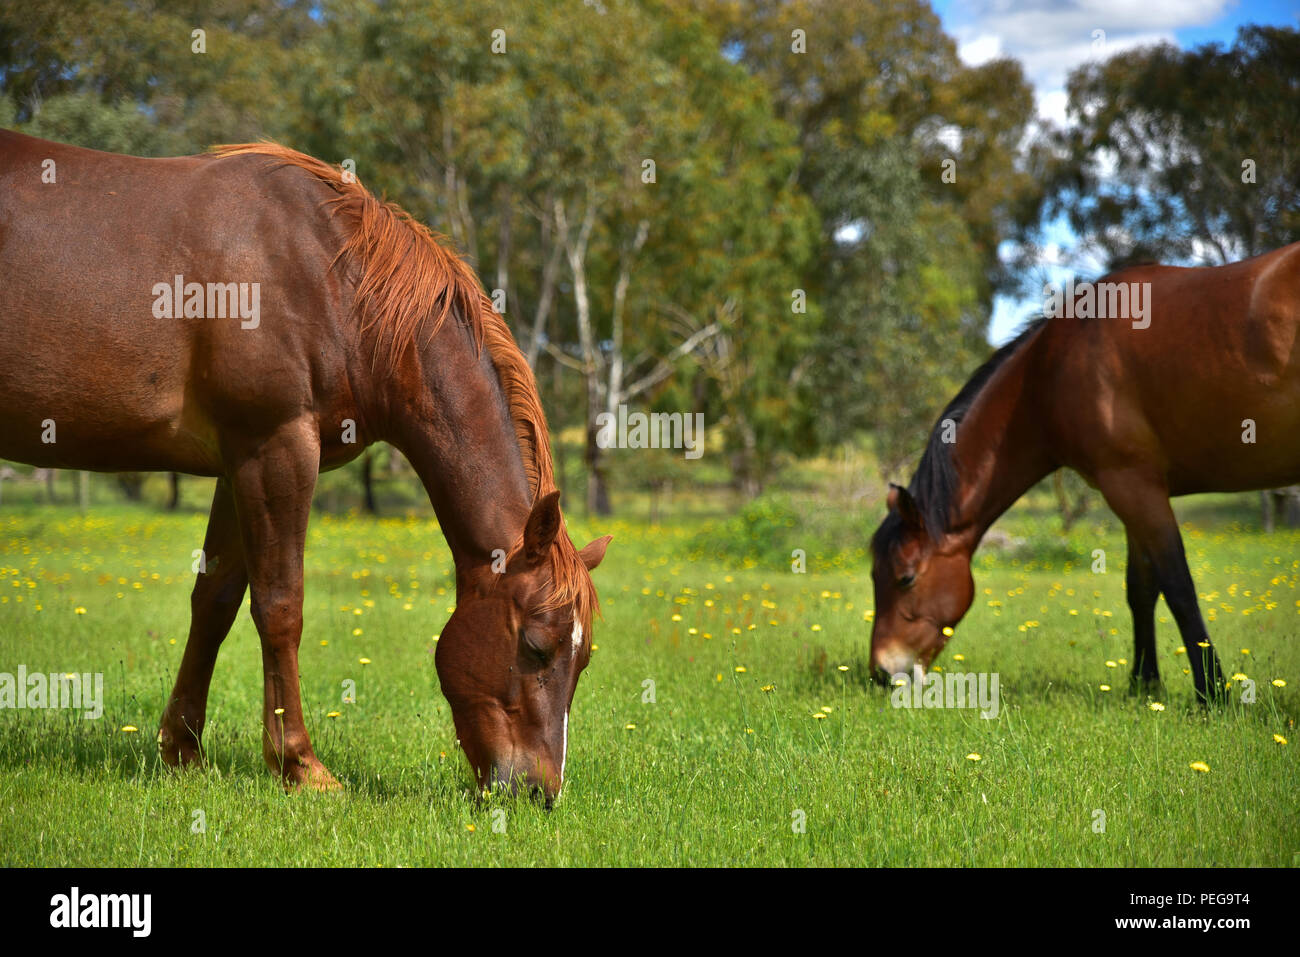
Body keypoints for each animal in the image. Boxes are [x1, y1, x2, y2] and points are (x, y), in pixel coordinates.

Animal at [0, 130, 611, 801]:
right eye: (536, 646)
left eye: (583, 657)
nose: (538, 793)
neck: (333, 280)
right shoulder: (277, 449)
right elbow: (280, 605)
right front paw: (300, 765)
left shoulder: (239, 462)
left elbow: (215, 599)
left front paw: (184, 750)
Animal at [869, 243, 1300, 703]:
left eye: (904, 578)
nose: (881, 670)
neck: (1047, 372)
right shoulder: (1137, 489)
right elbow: (1141, 589)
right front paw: (1144, 684)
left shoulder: (1130, 484)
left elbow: (1178, 587)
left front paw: (1212, 693)